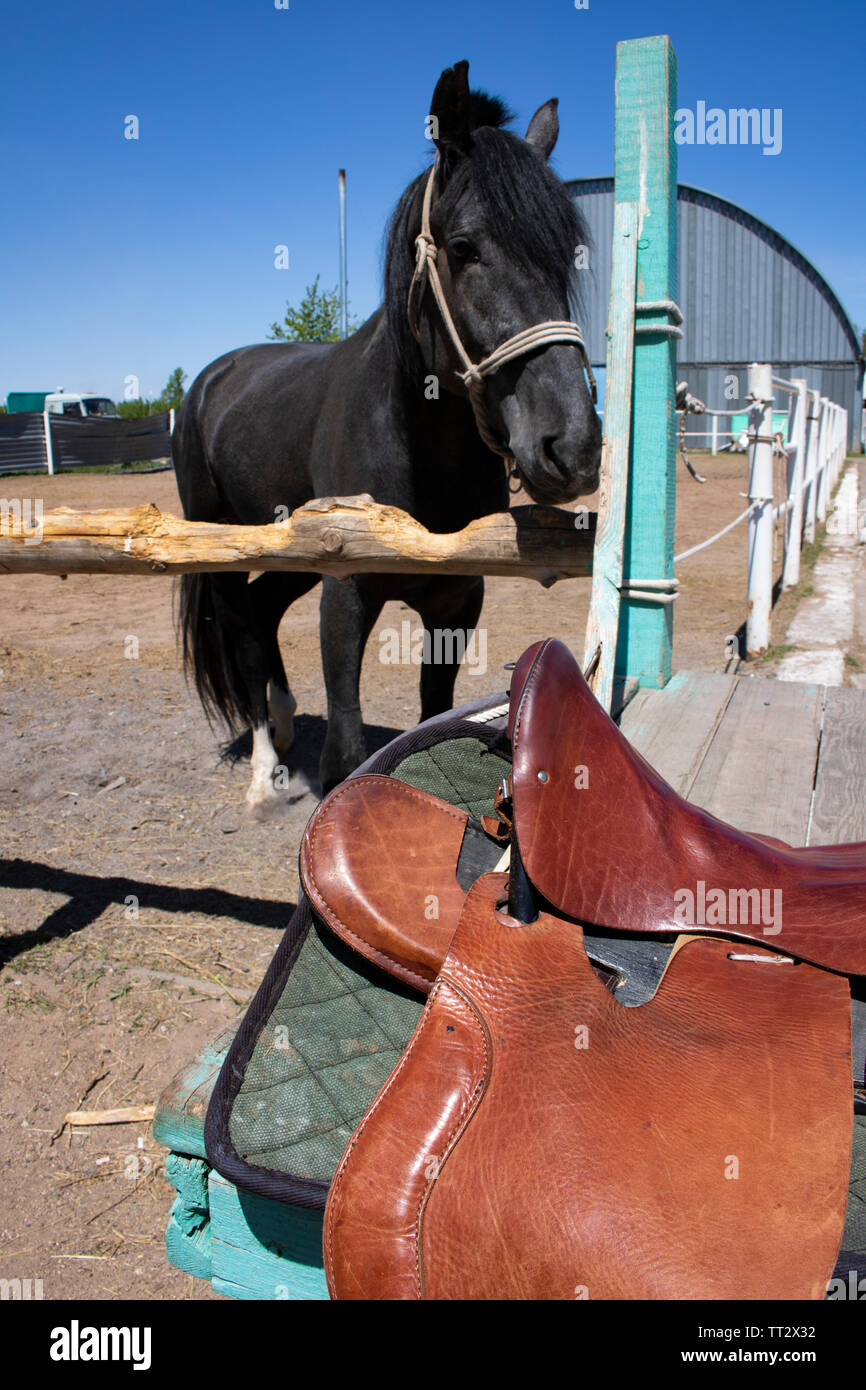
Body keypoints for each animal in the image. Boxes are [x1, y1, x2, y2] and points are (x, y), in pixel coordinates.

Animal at [173, 59, 601, 811]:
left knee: (261, 610)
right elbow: (348, 752)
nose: (571, 444)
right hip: (219, 543)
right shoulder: (345, 597)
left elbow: (435, 724)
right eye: (463, 248)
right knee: (240, 630)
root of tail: (209, 379)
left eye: (564, 256)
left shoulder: (457, 602)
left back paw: (285, 724)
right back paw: (264, 771)